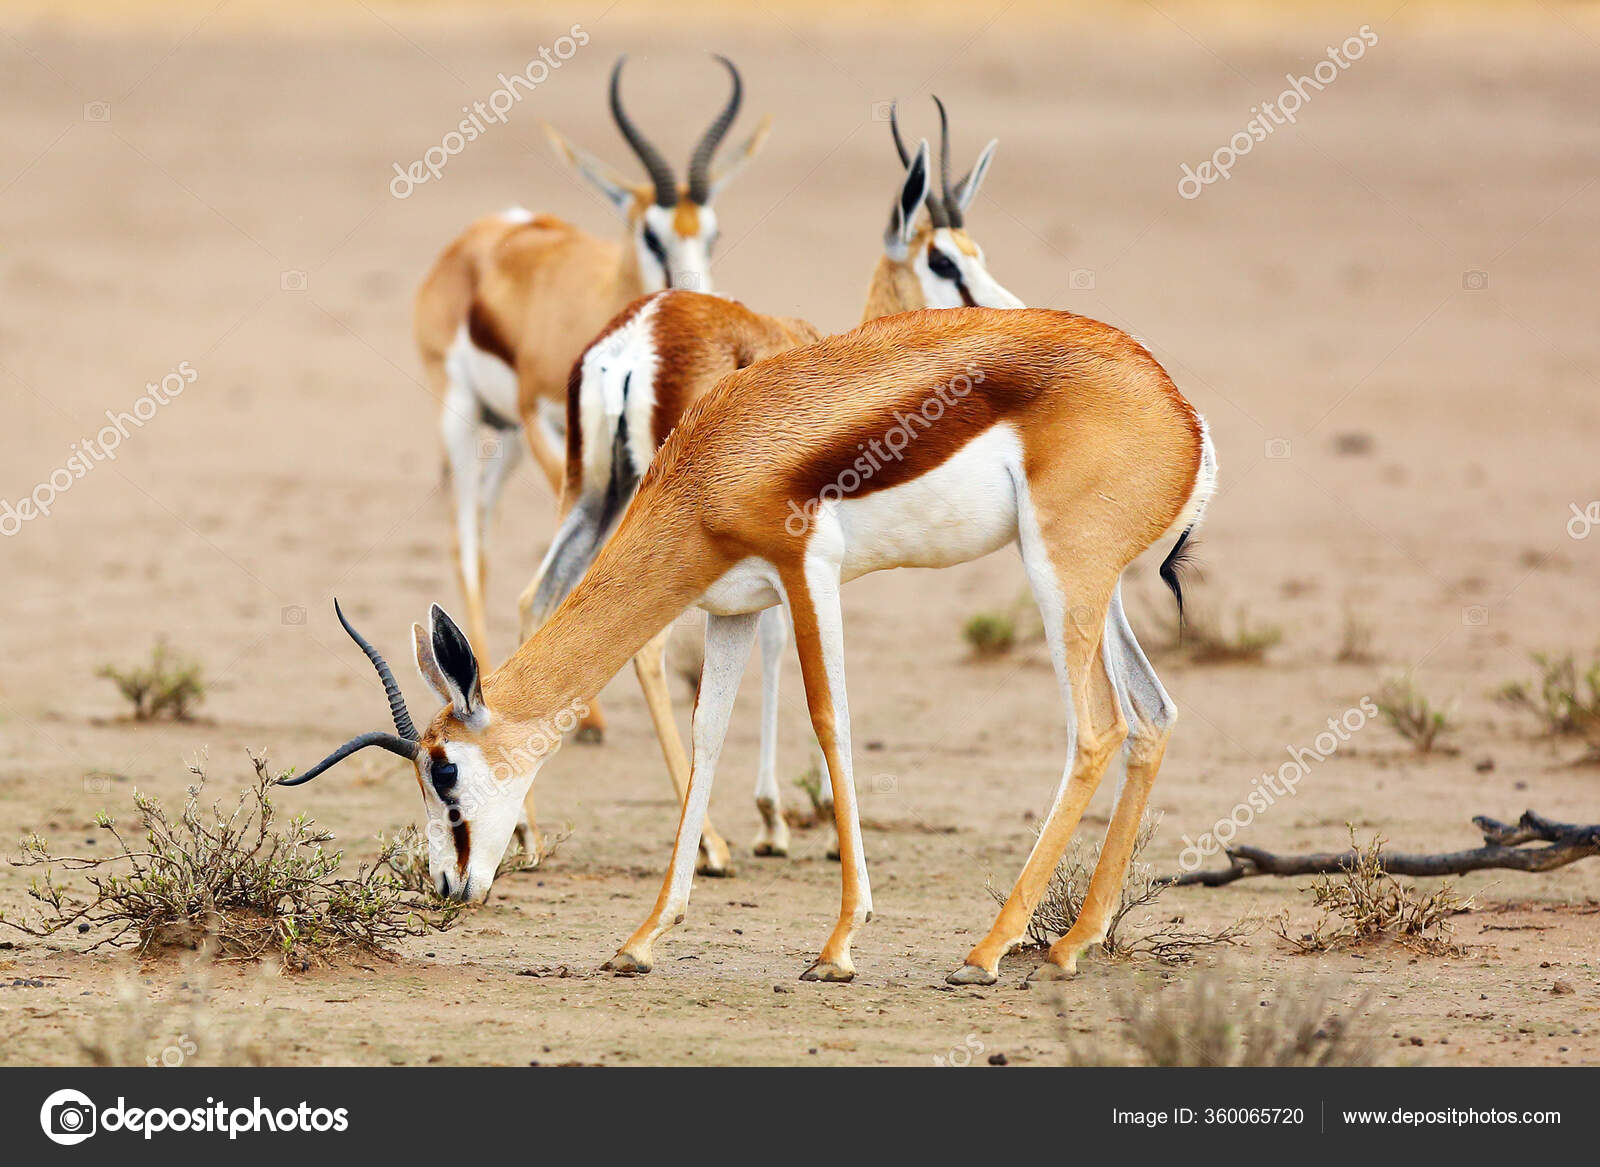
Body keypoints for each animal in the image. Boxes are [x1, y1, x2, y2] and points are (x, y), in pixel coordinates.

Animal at [284, 305, 1217, 986]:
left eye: (443, 771)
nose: (449, 883)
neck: (716, 463)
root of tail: (1180, 408)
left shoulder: (808, 571)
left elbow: (830, 722)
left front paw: (837, 946)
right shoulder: (732, 610)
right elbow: (707, 739)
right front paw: (642, 938)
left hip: (1060, 573)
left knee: (1095, 729)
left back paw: (986, 953)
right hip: (1099, 587)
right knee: (1154, 715)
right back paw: (1070, 944)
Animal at [412, 54, 769, 662]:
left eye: (713, 233)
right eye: (651, 235)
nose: (696, 294)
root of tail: (488, 229)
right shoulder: (543, 423)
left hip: (508, 437)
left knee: (483, 530)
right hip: (464, 416)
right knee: (465, 543)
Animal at [503, 101, 1023, 866]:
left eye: (977, 249)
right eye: (943, 259)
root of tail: (635, 335)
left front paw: (773, 819)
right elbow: (785, 650)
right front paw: (789, 822)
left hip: (594, 496)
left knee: (536, 600)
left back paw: (525, 834)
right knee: (646, 644)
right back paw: (710, 846)